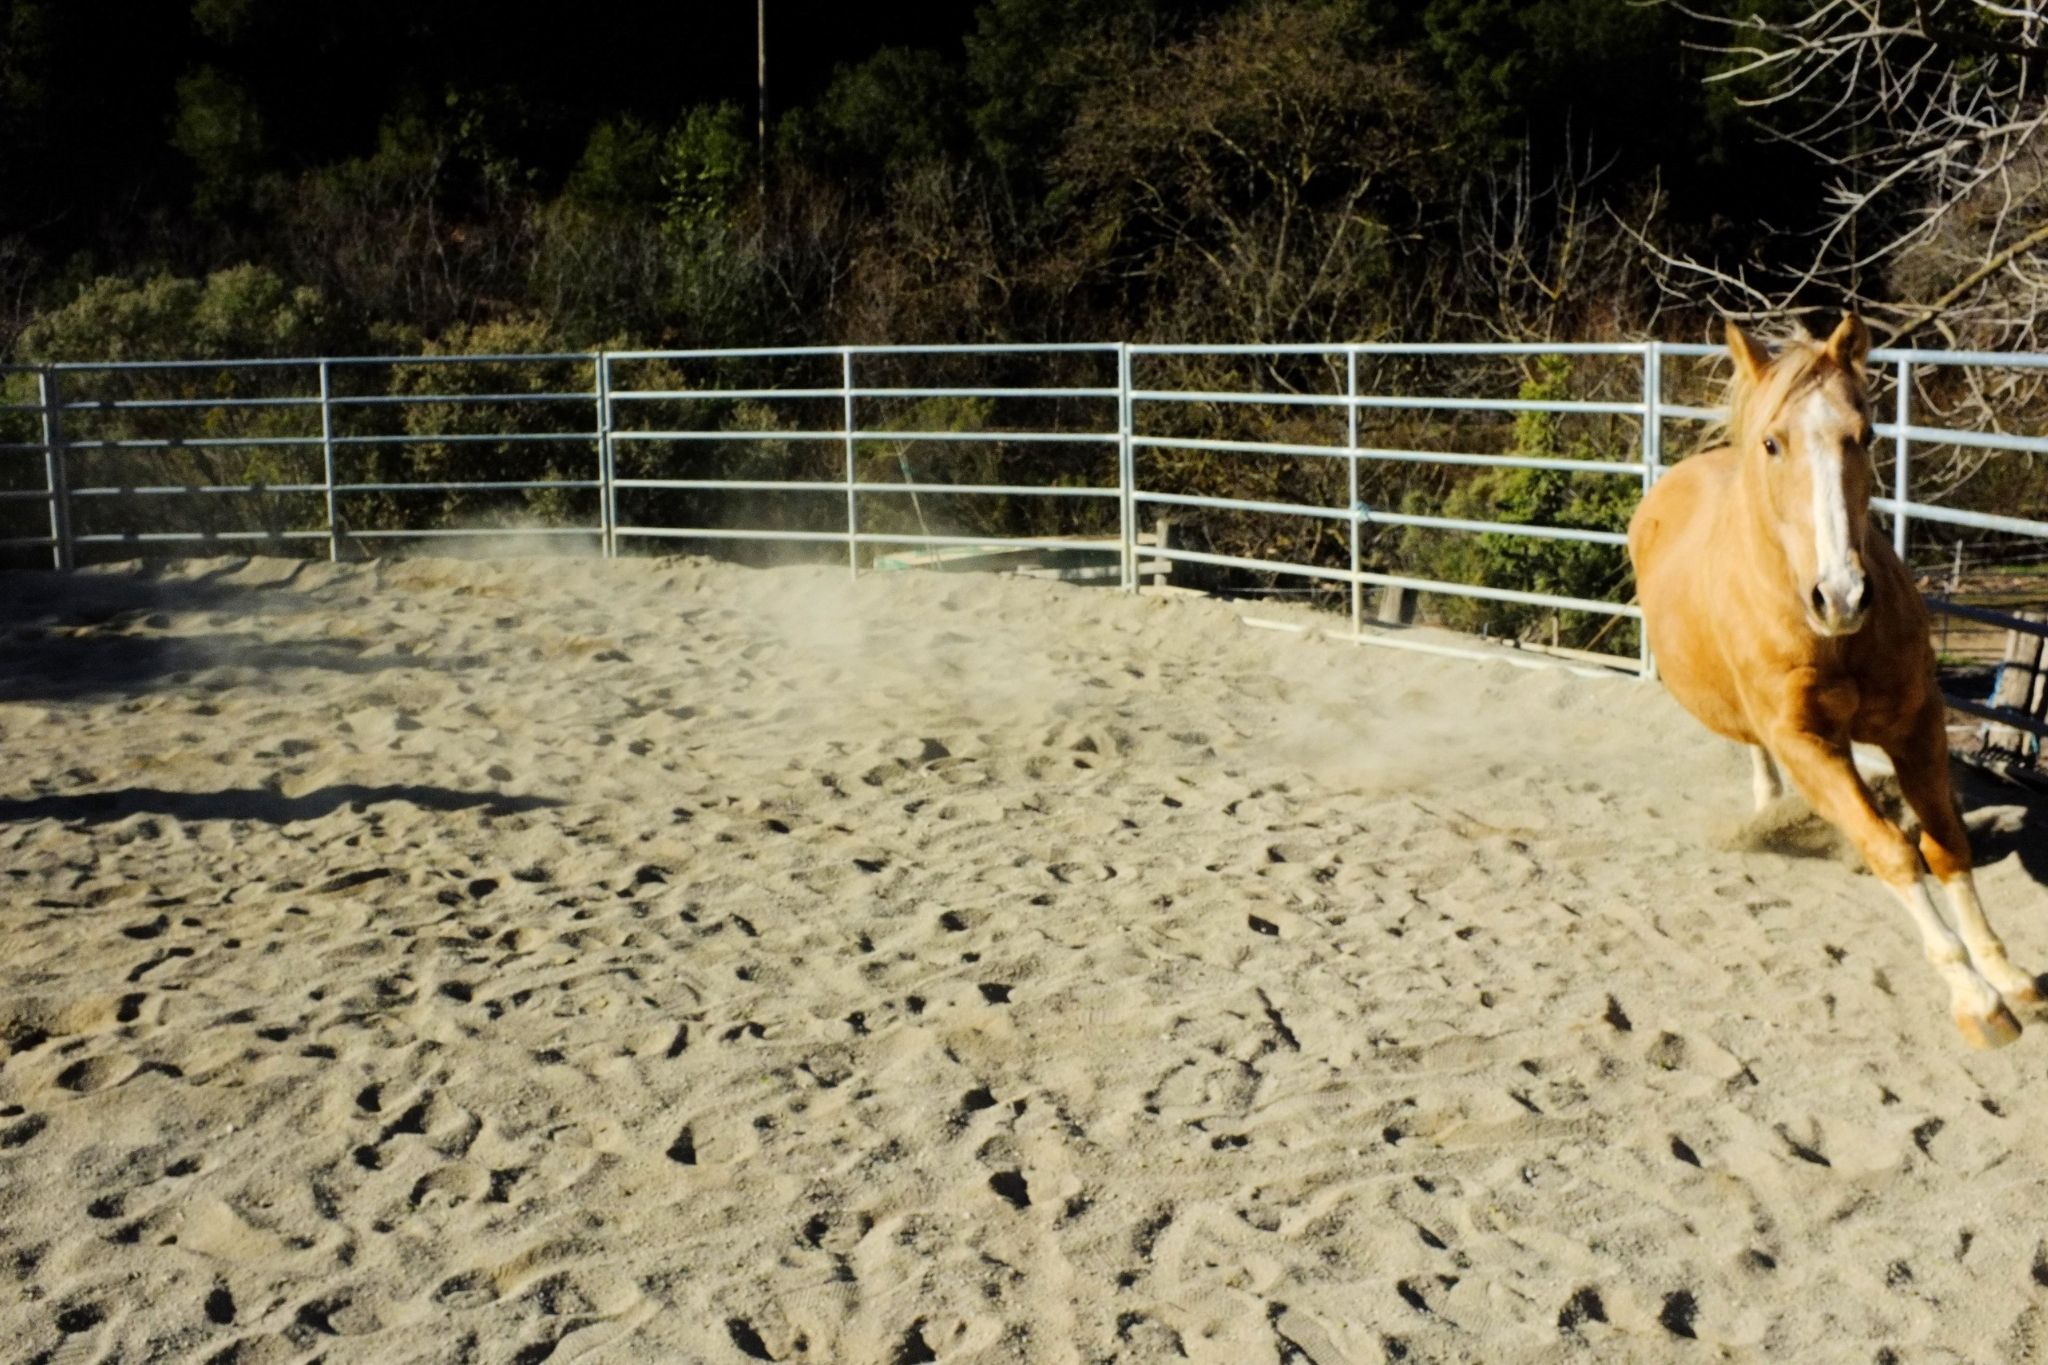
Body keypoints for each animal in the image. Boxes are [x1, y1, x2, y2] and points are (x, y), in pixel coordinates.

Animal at [1628, 313, 2041, 1048]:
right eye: (1772, 442)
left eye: (1867, 434)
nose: (1842, 596)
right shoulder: (1806, 744)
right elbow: (1891, 852)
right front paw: (1975, 997)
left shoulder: (1917, 723)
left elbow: (1944, 843)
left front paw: (2008, 973)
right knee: (1760, 755)